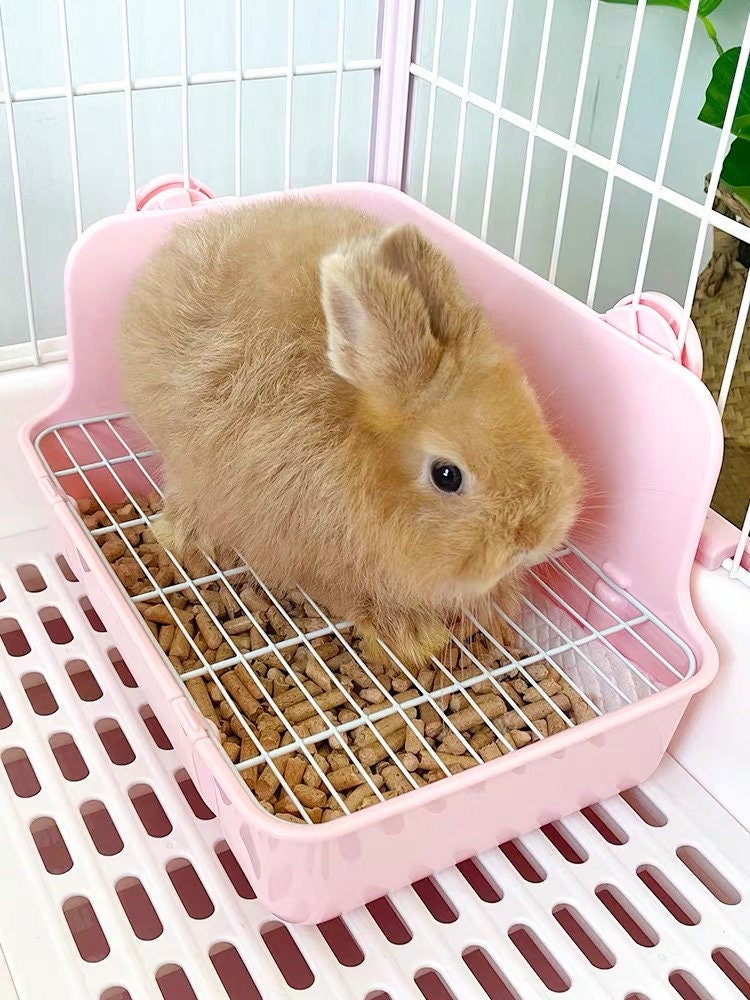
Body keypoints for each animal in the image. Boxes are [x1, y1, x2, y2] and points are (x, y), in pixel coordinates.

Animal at [118, 198, 582, 668]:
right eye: (446, 475)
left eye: (530, 403)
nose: (535, 537)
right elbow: (359, 600)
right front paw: (414, 636)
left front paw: (500, 599)